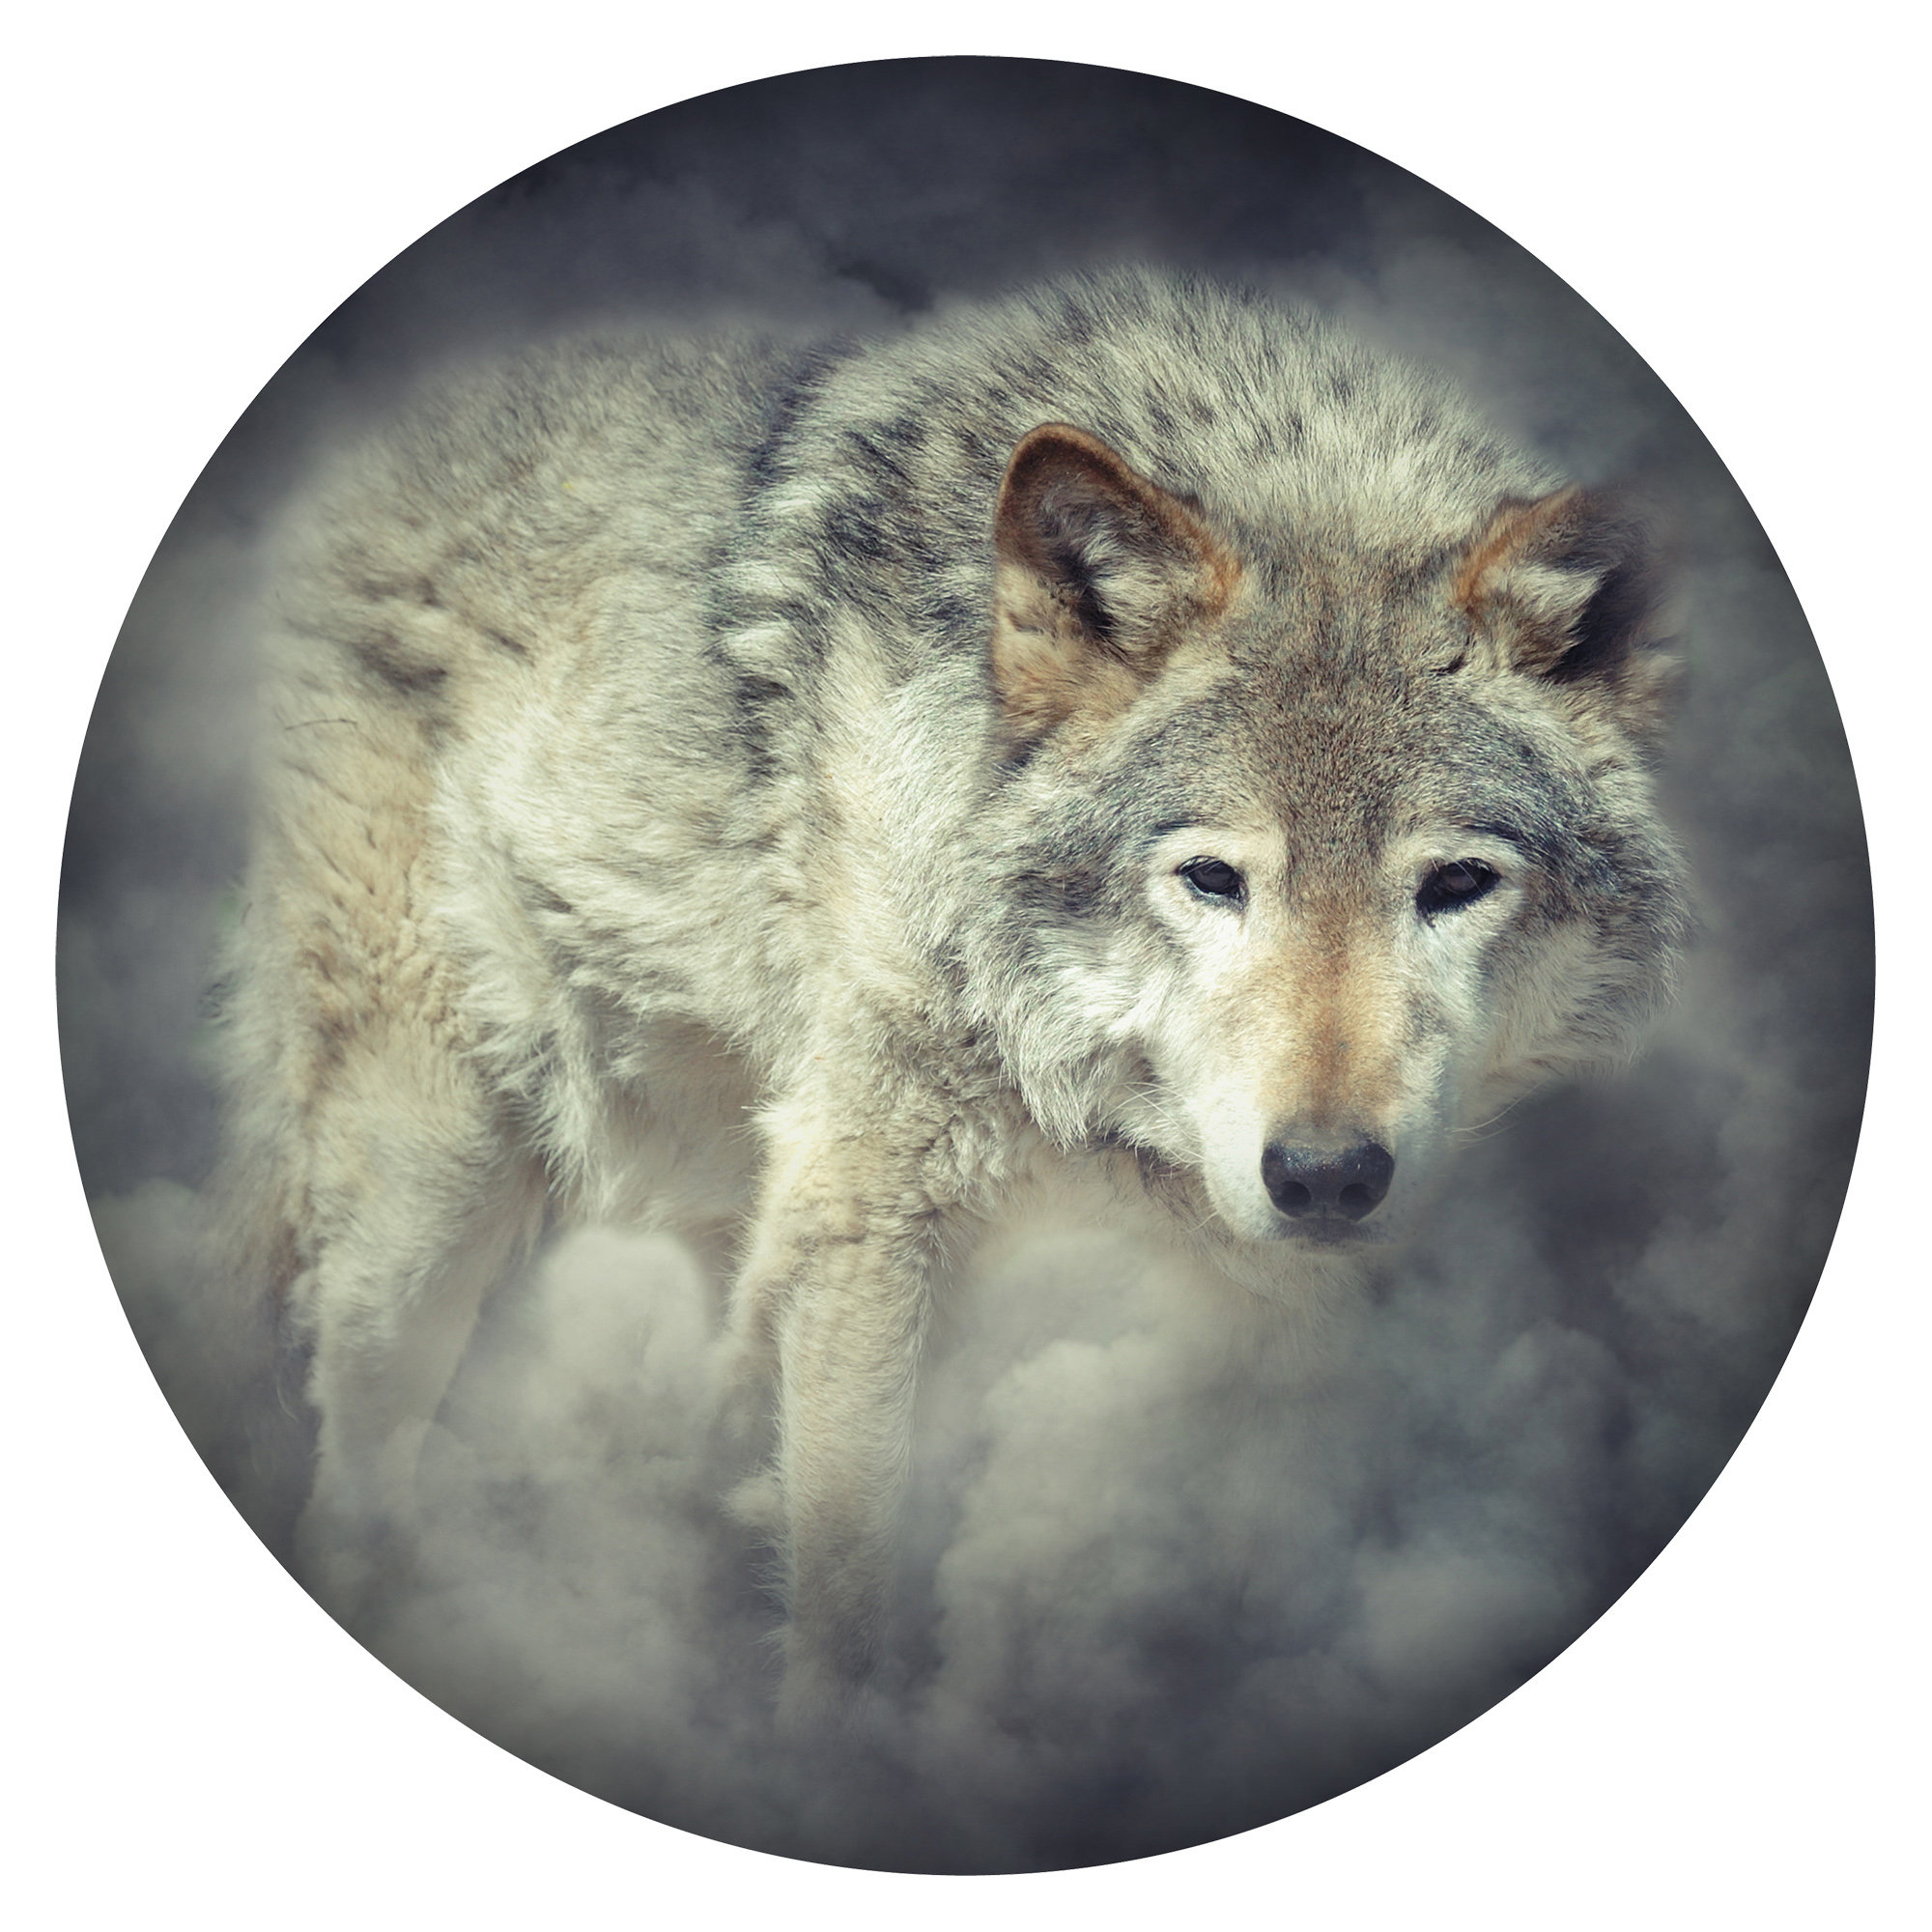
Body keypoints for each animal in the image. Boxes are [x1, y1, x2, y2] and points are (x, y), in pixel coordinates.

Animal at [212, 268, 1689, 1719]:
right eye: (1211, 878)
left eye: (1455, 885)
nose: (1326, 1175)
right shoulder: (872, 1225)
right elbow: (848, 1600)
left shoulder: (1260, 1312)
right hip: (437, 1187)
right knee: (360, 1475)